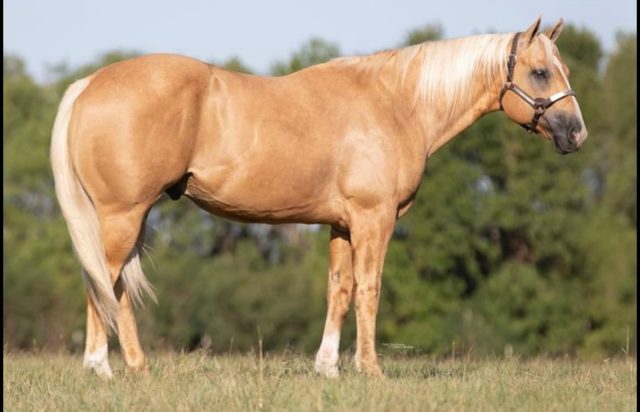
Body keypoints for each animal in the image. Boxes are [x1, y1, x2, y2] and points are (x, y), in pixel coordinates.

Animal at [50, 16, 587, 379]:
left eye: (562, 68)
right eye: (541, 72)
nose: (576, 134)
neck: (398, 104)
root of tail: (89, 84)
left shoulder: (342, 224)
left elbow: (339, 290)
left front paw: (327, 367)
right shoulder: (374, 218)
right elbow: (369, 289)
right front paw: (371, 369)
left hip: (132, 218)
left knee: (116, 286)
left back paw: (137, 366)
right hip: (122, 216)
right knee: (102, 280)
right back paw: (100, 366)